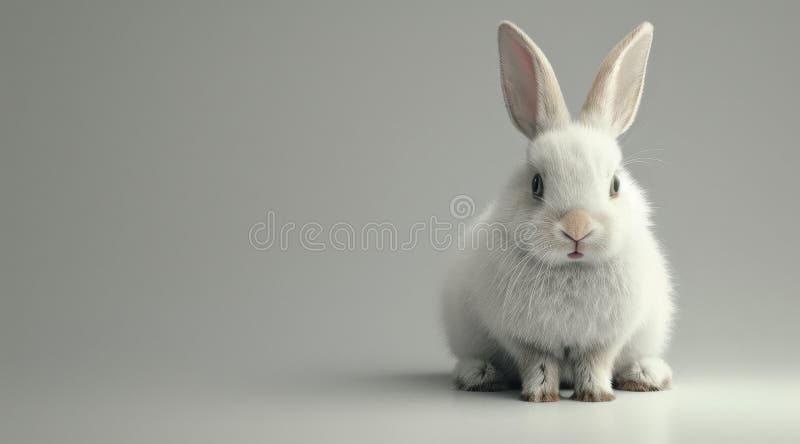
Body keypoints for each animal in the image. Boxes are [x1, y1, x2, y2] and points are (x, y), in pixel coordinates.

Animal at [441, 21, 674, 402]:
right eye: (537, 184)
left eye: (615, 185)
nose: (577, 228)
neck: (571, 269)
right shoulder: (523, 339)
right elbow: (538, 366)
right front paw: (540, 397)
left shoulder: (605, 339)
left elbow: (596, 365)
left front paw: (596, 396)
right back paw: (480, 375)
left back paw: (645, 376)